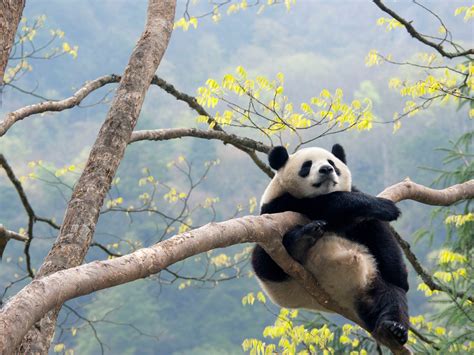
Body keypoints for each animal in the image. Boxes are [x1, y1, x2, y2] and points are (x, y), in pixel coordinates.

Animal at [252, 144, 412, 348]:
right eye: (307, 166)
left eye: (332, 163)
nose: (326, 170)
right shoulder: (278, 204)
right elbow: (323, 204)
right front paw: (384, 206)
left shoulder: (365, 225)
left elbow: (381, 237)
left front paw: (400, 277)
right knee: (263, 259)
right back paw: (301, 239)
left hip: (373, 282)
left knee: (392, 299)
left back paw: (393, 328)